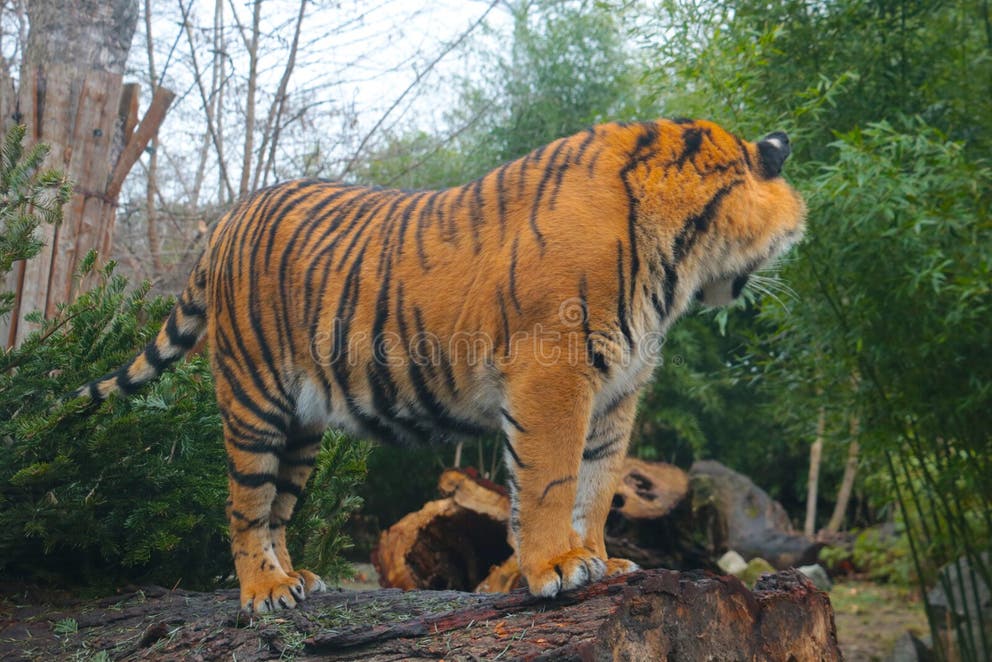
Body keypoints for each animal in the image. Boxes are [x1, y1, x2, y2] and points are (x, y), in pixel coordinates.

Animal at [74, 118, 806, 612]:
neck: (679, 261)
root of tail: (228, 217)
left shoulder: (618, 393)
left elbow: (598, 485)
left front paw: (600, 559)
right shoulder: (554, 376)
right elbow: (551, 482)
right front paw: (557, 566)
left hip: (303, 425)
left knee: (279, 505)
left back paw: (293, 578)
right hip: (254, 397)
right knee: (245, 503)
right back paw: (262, 591)